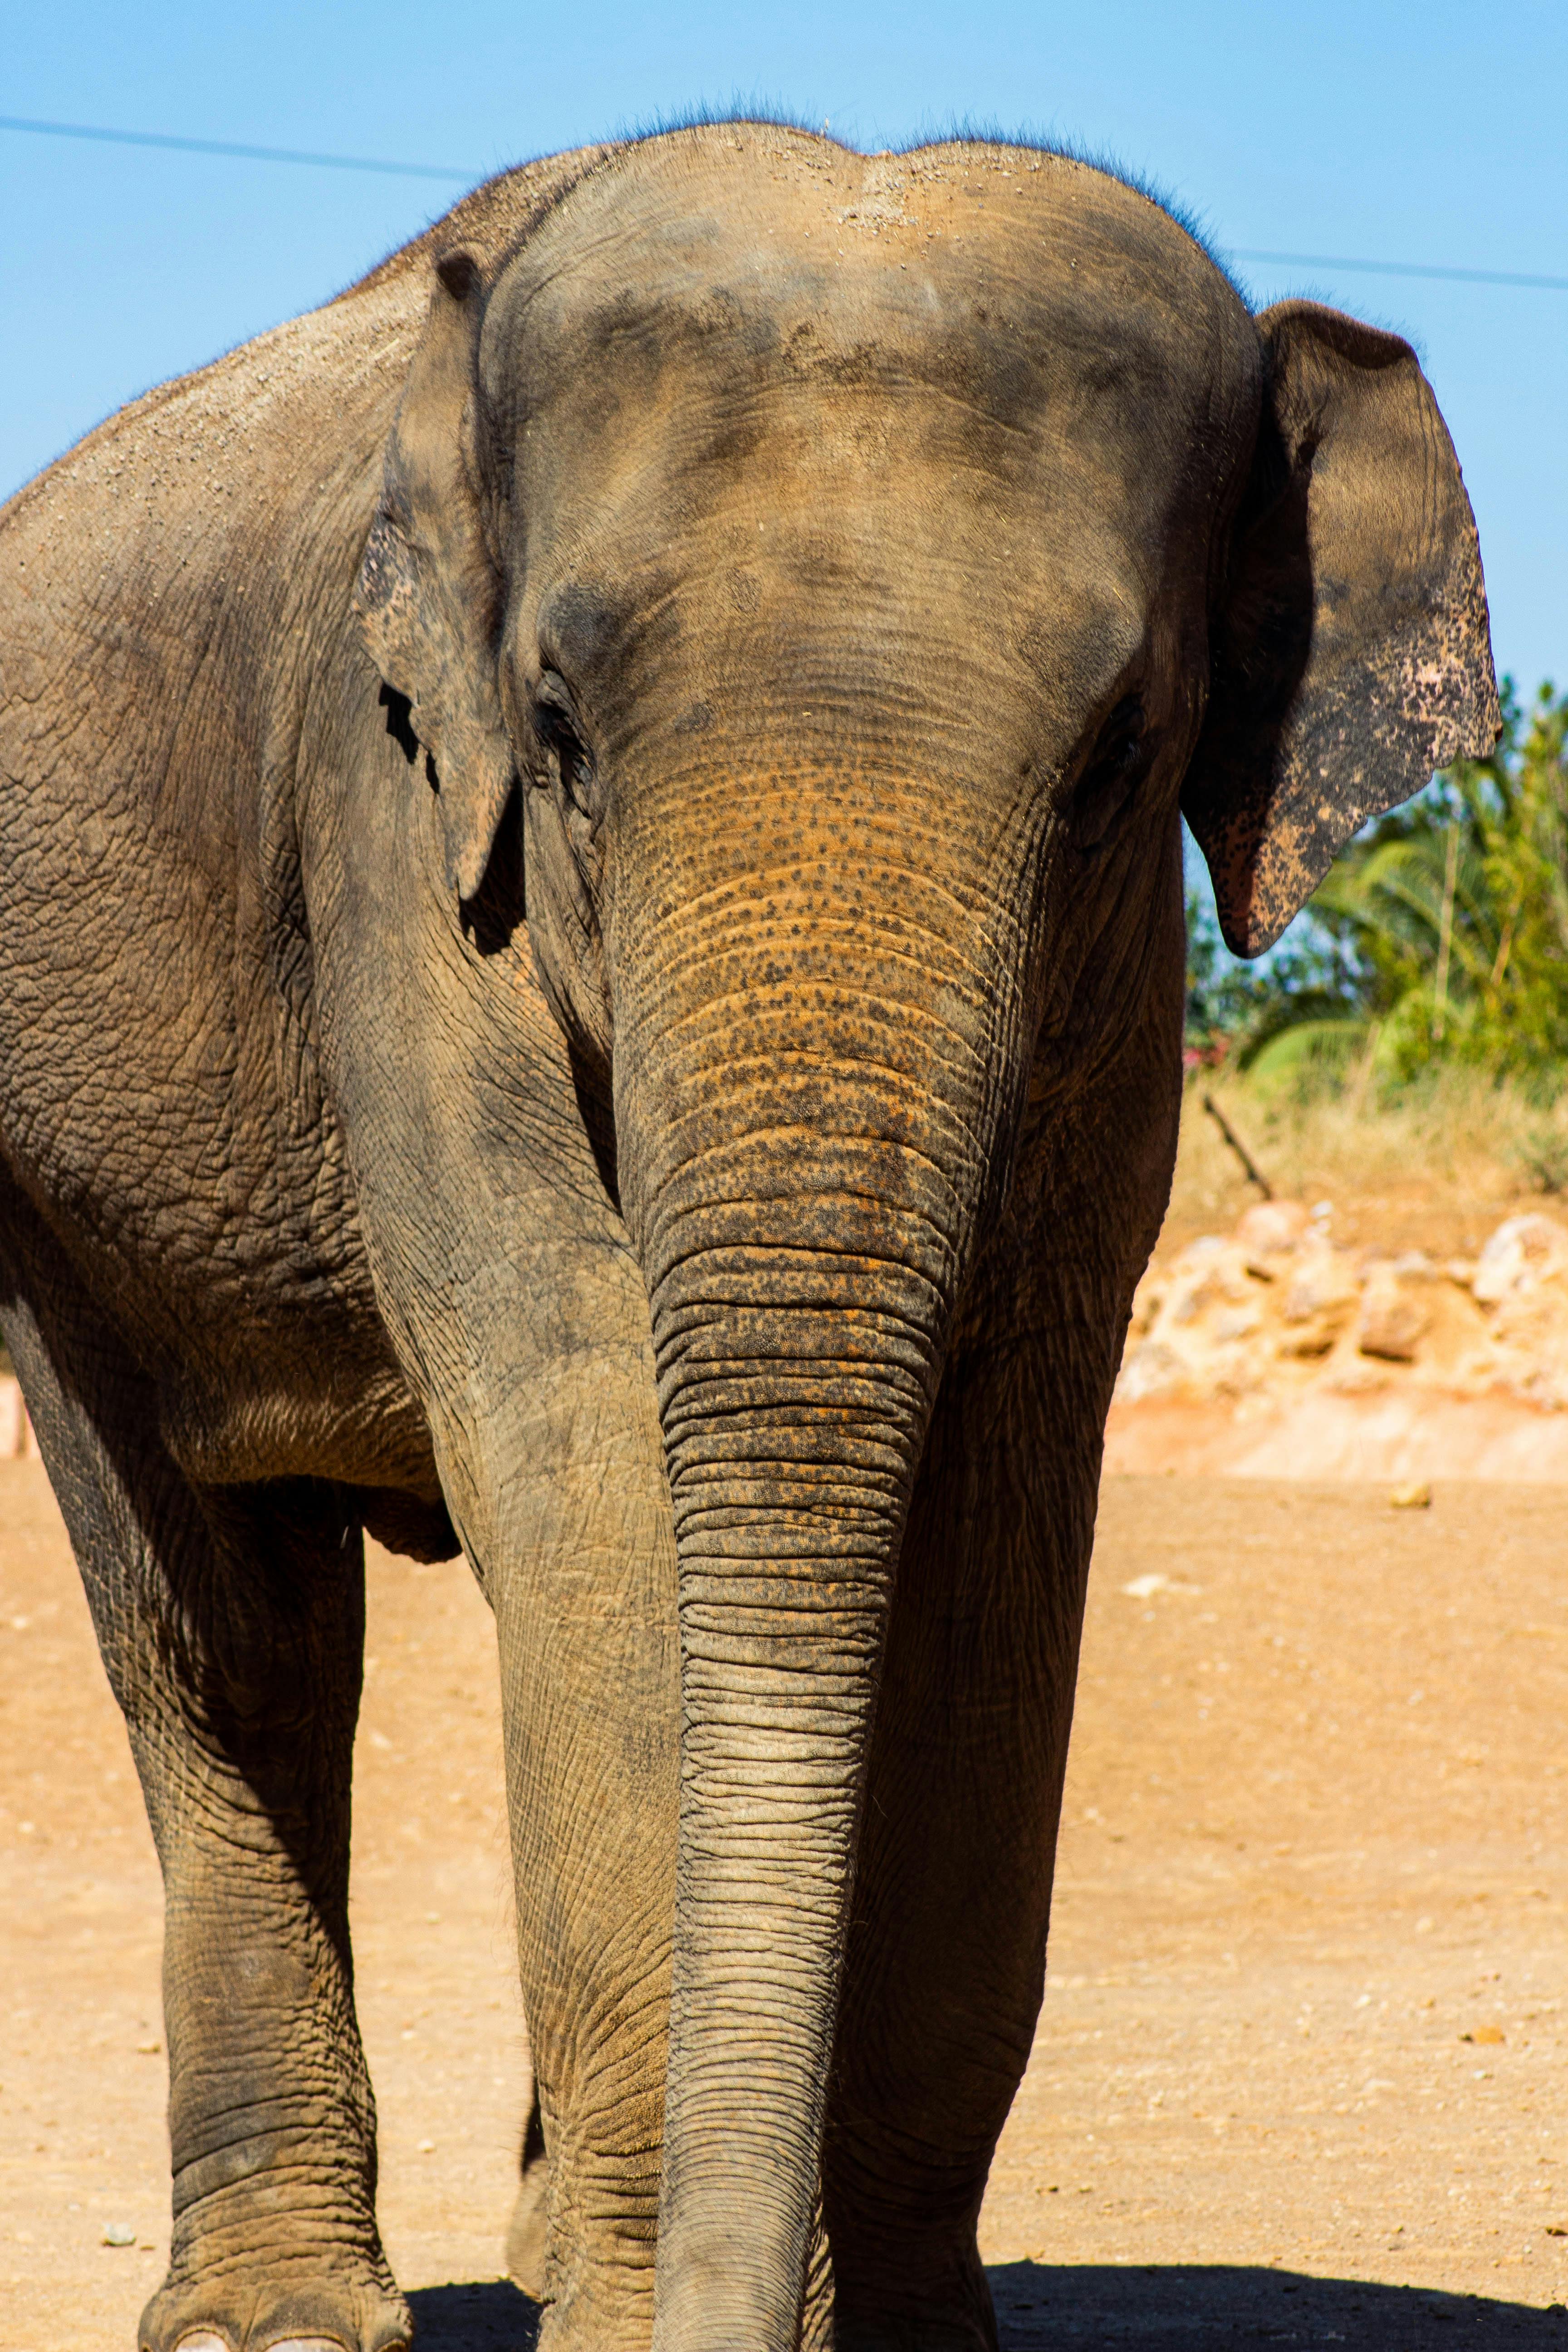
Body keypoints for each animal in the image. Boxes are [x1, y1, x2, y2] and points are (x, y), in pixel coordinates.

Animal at [0, 121, 1496, 2352]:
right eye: (554, 725)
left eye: (1115, 753)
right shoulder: (401, 853)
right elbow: (593, 1449)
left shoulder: (1118, 1004)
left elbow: (997, 1510)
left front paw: (887, 2333)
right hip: (55, 1183)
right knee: (225, 1641)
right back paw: (280, 2323)